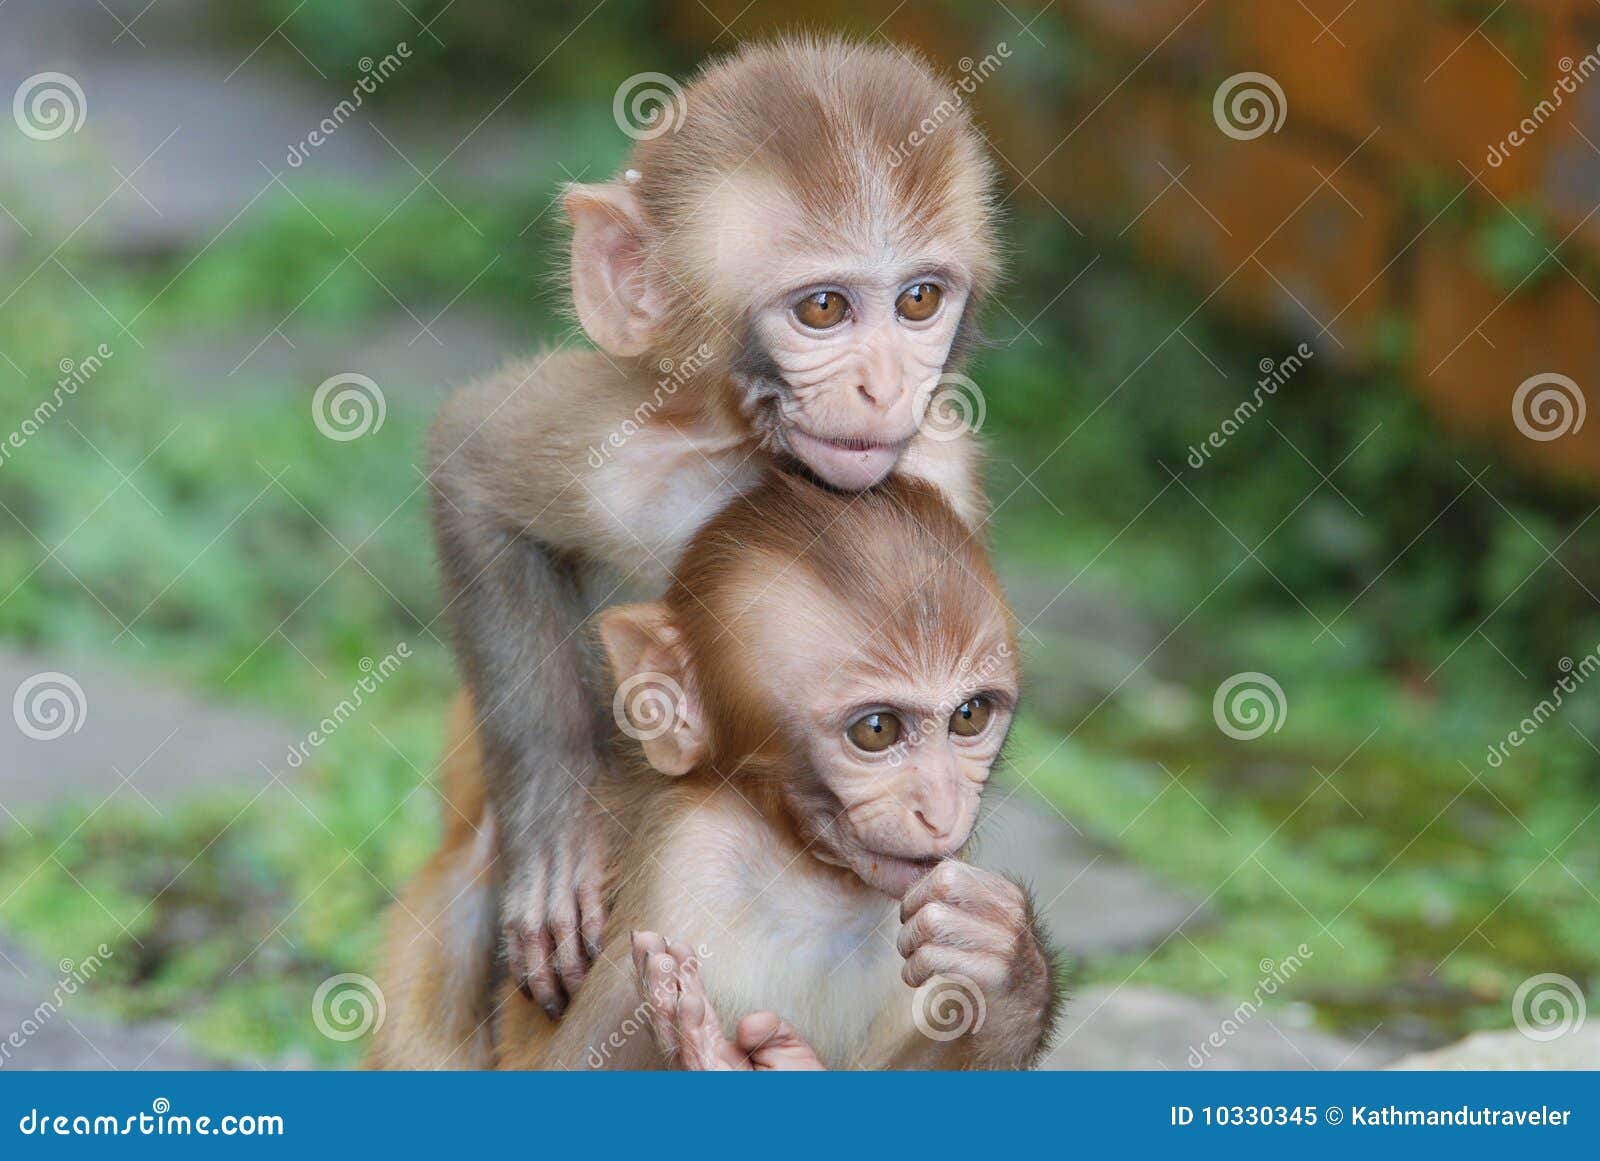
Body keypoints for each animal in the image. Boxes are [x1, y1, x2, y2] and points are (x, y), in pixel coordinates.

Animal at [375, 471, 1061, 1070]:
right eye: (877, 730)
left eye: (970, 716)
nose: (941, 810)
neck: (803, 868)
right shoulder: (689, 873)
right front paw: (716, 1055)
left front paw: (1006, 965)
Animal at [425, 35, 1003, 1018]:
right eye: (823, 309)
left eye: (920, 300)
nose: (887, 386)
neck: (760, 457)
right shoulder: (625, 447)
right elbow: (468, 470)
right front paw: (557, 836)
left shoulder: (943, 471)